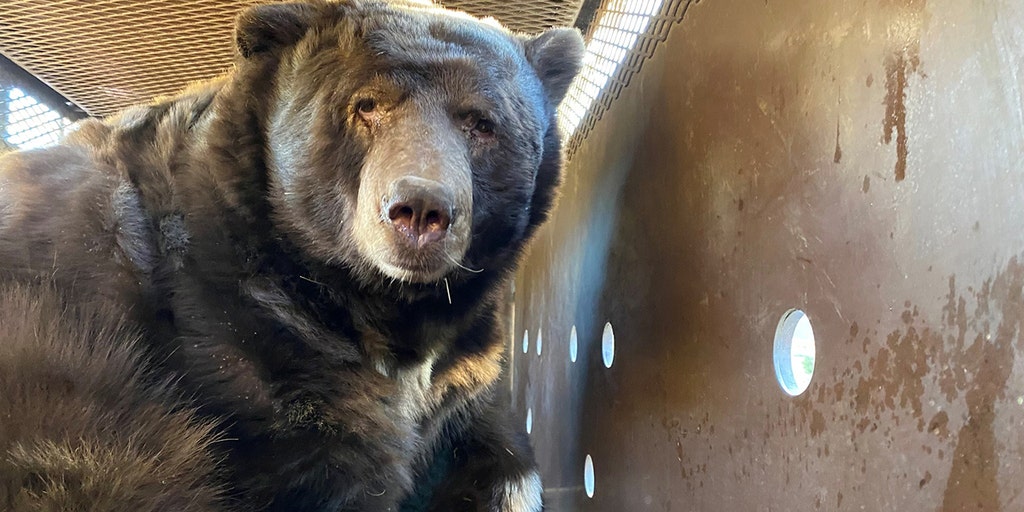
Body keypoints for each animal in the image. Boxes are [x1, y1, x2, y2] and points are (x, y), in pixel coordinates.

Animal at [0, 1, 584, 511]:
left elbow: (496, 441)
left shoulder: (465, 366)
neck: (383, 304)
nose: (420, 209)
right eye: (366, 105)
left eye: (481, 123)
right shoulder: (241, 331)